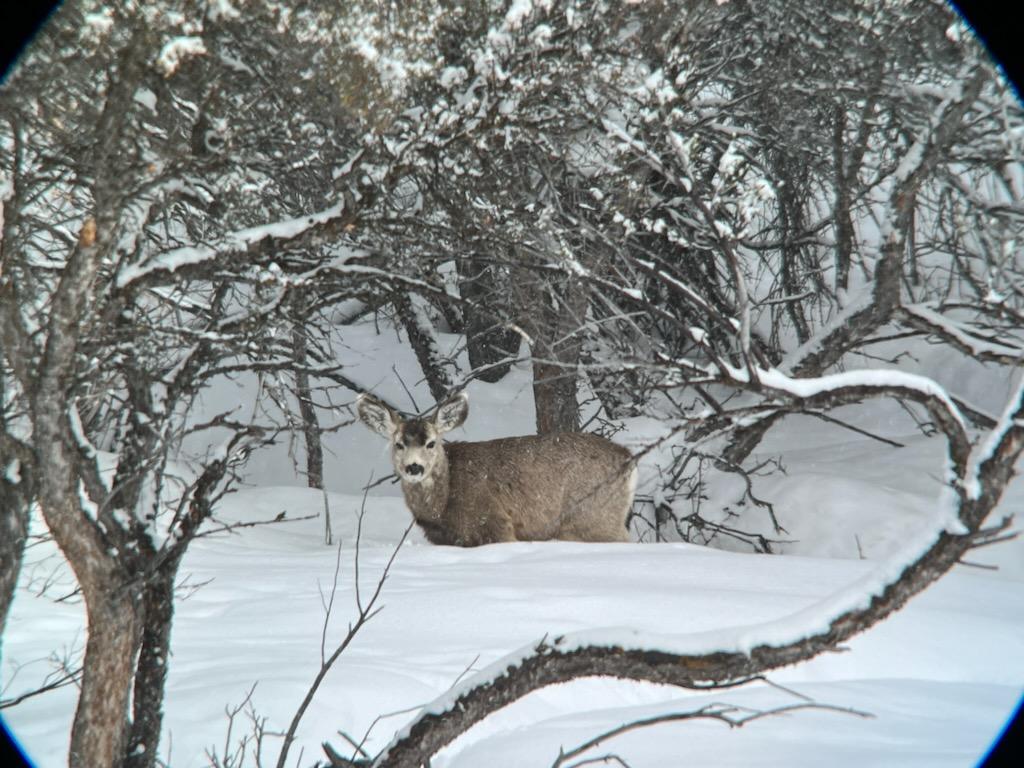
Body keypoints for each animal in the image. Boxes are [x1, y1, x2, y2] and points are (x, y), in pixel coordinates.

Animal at [356, 391, 636, 546]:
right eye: (399, 444)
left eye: (431, 443)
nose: (414, 467)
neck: (442, 506)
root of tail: (629, 458)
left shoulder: (494, 522)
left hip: (594, 517)